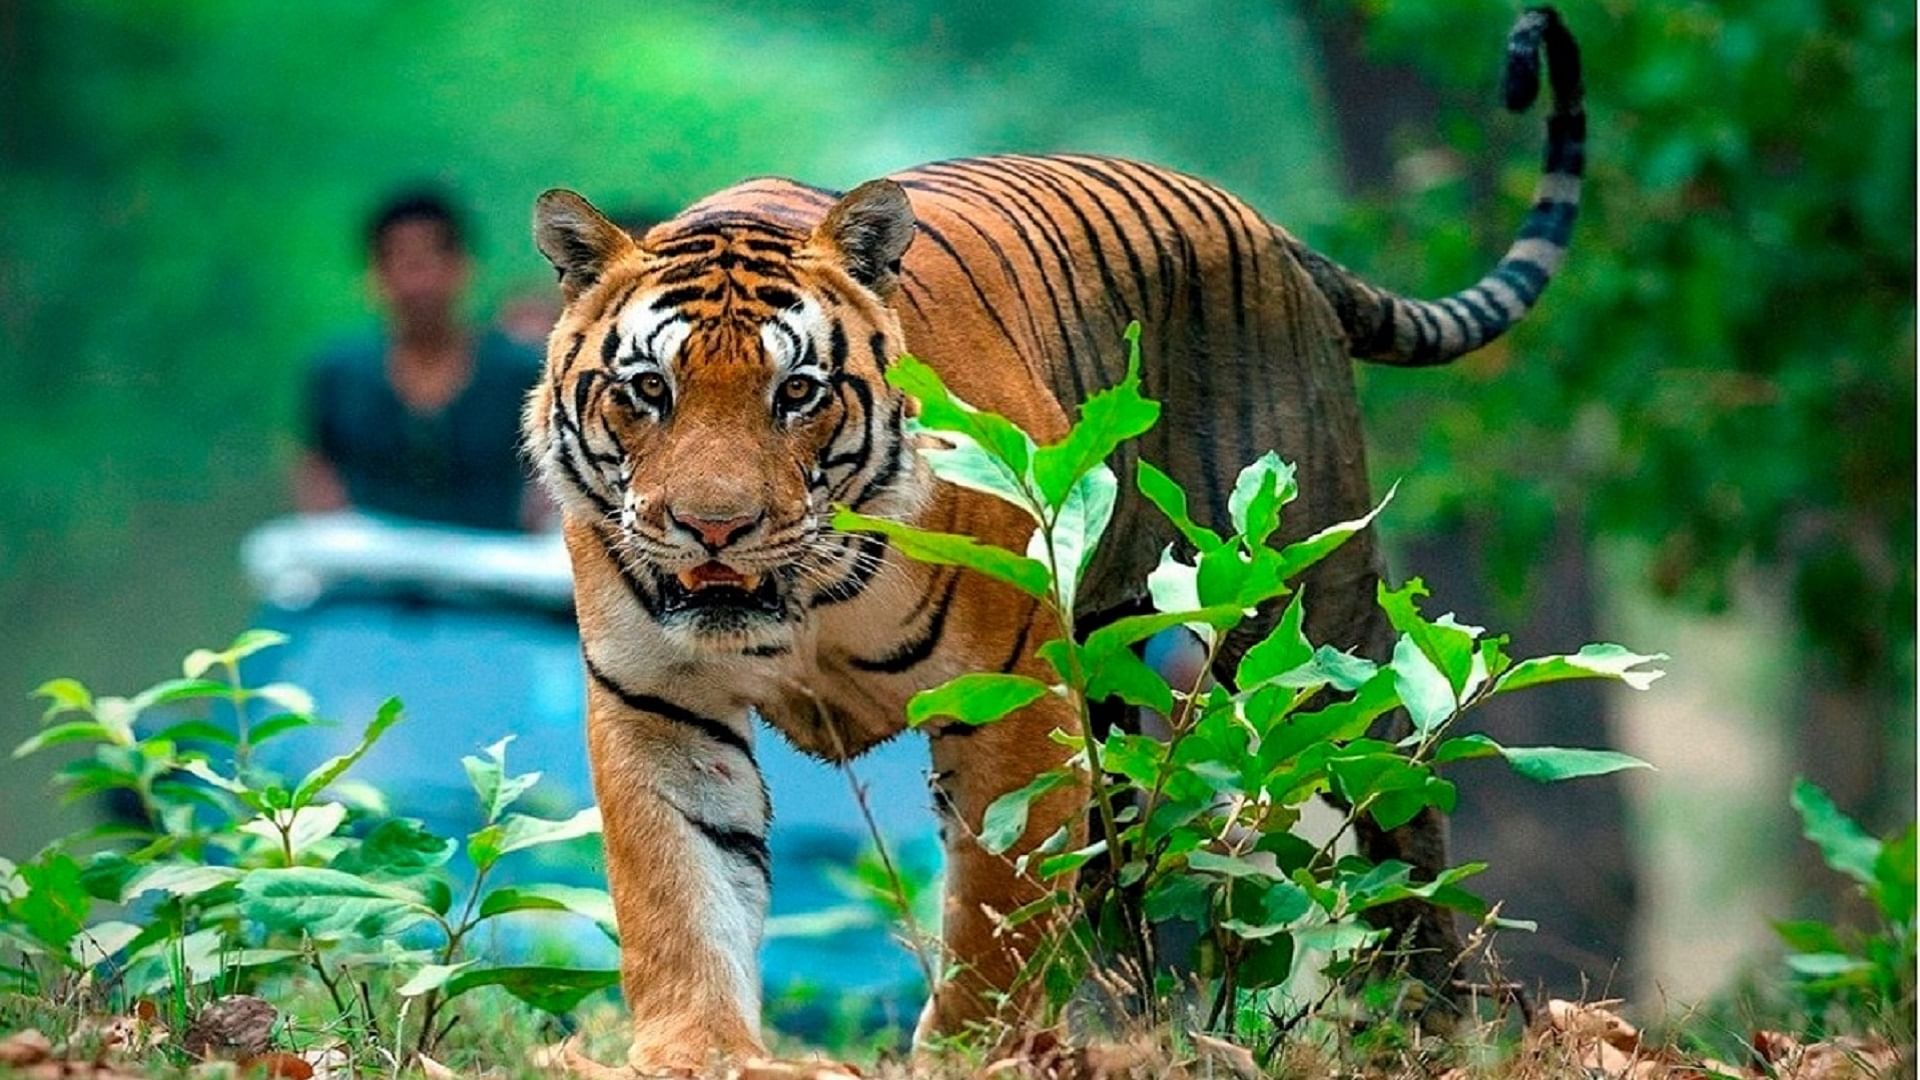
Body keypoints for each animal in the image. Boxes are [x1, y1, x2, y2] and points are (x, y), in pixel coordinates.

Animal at [520, 7, 1582, 1072]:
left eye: (798, 392)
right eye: (649, 388)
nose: (715, 527)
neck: (802, 604)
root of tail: (1271, 230)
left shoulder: (1015, 695)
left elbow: (1000, 905)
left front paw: (968, 1052)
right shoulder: (660, 699)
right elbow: (679, 887)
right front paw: (696, 1050)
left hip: (1309, 614)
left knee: (1394, 795)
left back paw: (1430, 1024)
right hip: (1113, 672)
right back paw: (1132, 1027)